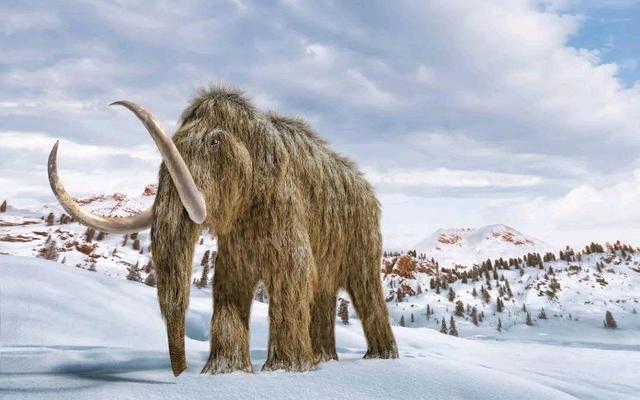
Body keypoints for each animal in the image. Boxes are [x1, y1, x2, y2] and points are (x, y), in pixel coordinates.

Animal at [47, 85, 398, 376]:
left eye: (215, 141)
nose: (180, 375)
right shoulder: (235, 239)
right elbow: (229, 283)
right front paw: (224, 371)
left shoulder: (285, 207)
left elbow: (293, 273)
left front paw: (285, 369)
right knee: (322, 292)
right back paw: (324, 359)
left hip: (363, 237)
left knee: (366, 291)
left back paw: (380, 358)